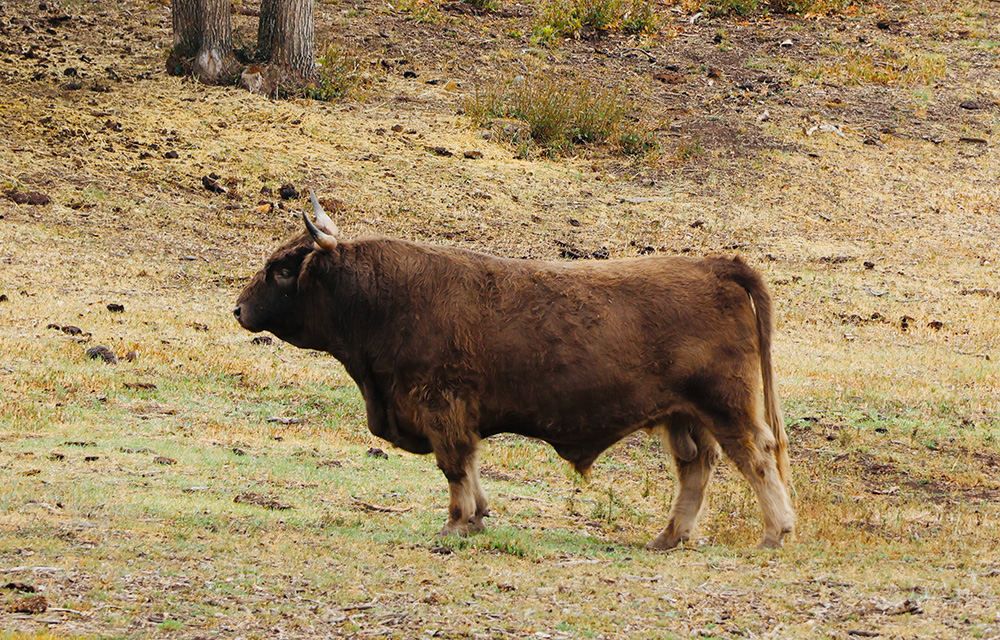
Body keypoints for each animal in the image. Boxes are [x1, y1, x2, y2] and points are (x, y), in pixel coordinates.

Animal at [234, 191, 795, 549]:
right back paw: (669, 537)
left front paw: (456, 524)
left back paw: (775, 534)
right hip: (686, 416)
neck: (383, 297)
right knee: (696, 467)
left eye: (282, 269)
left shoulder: (442, 408)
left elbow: (455, 466)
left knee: (756, 456)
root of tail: (716, 264)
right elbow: (469, 467)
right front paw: (478, 517)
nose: (238, 309)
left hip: (725, 406)